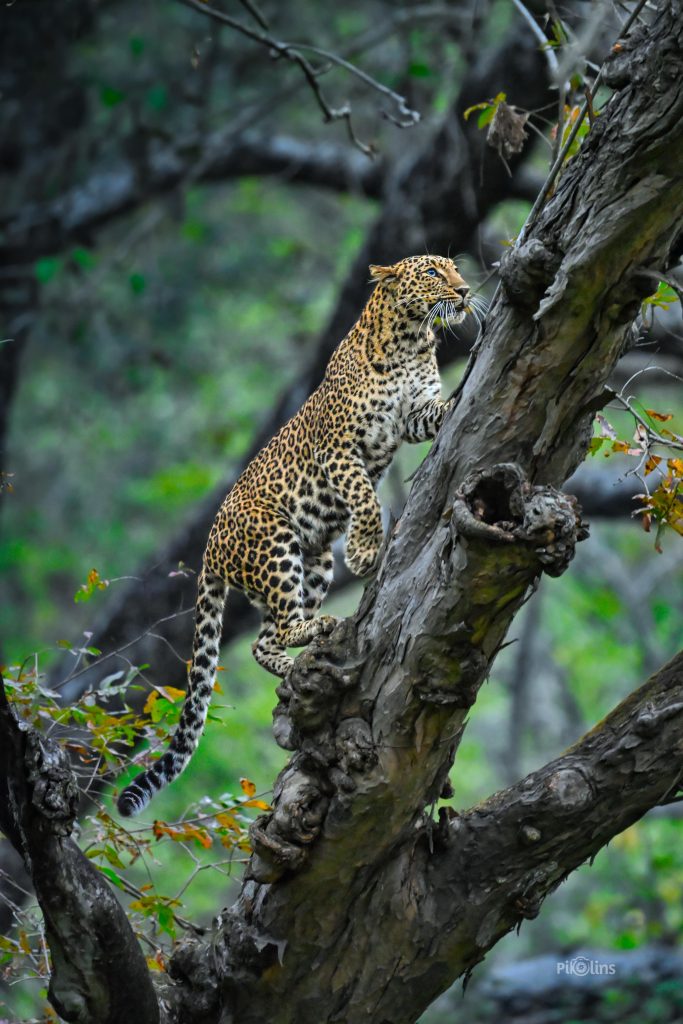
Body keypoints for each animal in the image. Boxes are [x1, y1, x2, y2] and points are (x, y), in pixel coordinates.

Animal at [117, 255, 472, 816]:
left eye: (454, 270)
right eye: (434, 274)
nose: (466, 291)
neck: (411, 338)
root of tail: (209, 549)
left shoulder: (413, 416)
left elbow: (435, 413)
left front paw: (463, 388)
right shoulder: (339, 449)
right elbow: (364, 495)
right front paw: (366, 550)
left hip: (314, 559)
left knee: (264, 640)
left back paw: (299, 661)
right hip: (277, 544)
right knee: (280, 625)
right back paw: (318, 631)